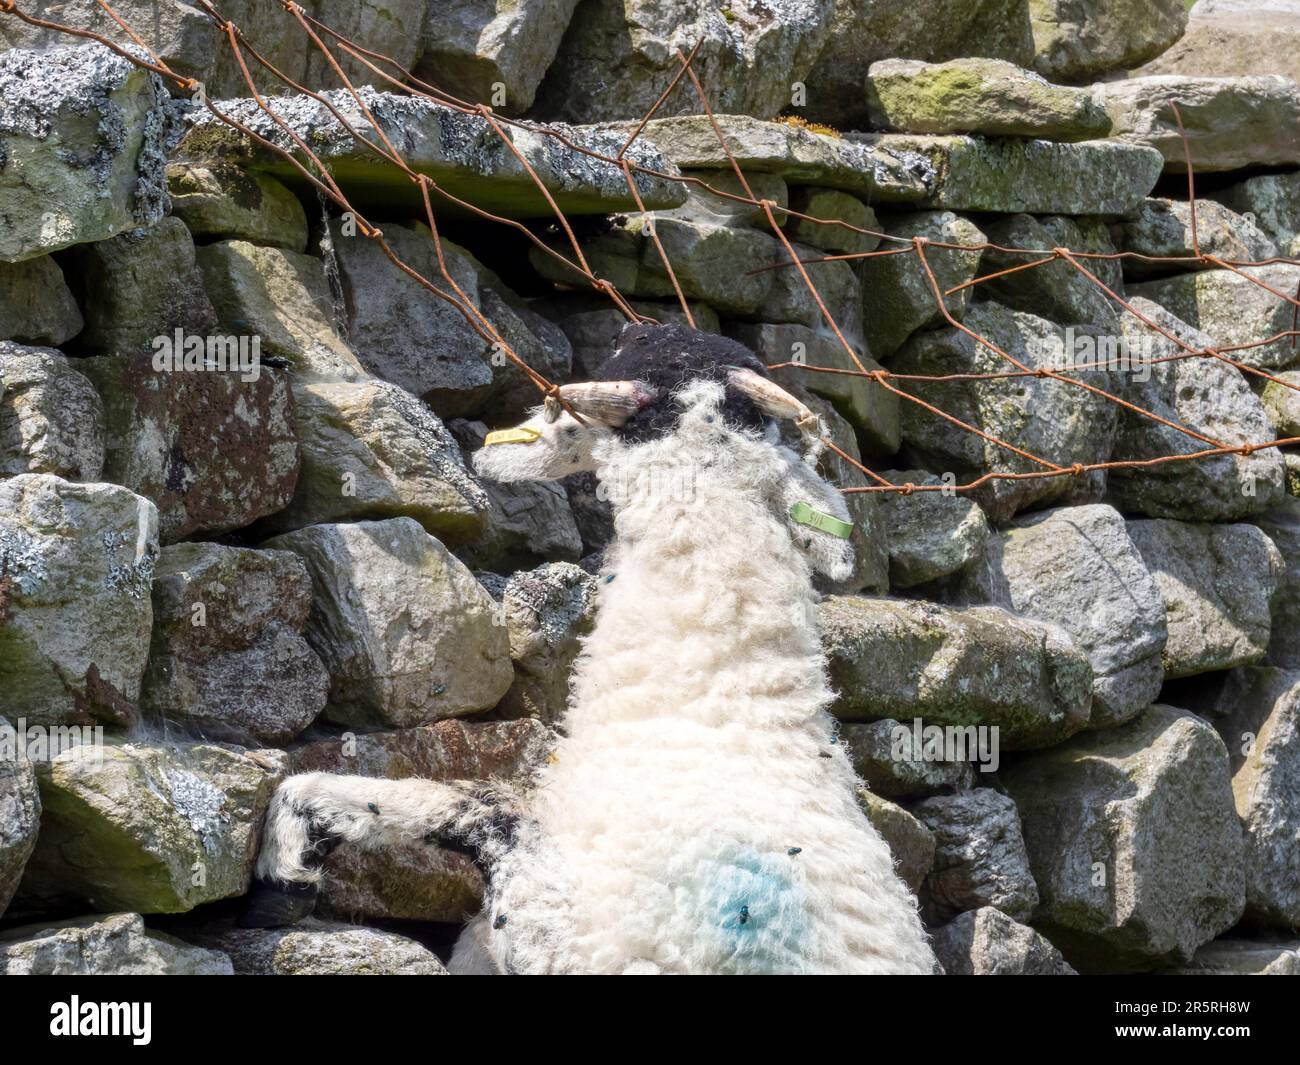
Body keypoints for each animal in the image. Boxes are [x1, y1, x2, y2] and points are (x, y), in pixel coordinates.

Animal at [245, 324, 937, 975]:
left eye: (567, 410)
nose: (487, 452)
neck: (712, 701)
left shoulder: (546, 911)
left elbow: (456, 803)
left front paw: (287, 854)